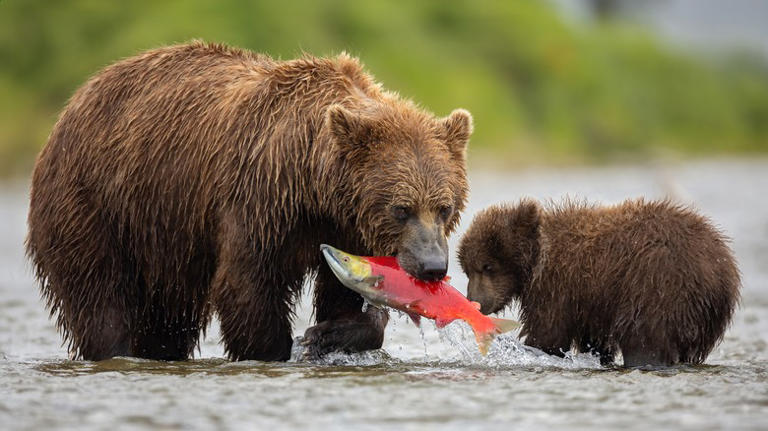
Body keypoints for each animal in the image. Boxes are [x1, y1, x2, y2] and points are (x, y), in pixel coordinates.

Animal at [26, 41, 472, 362]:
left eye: (444, 207)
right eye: (402, 209)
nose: (433, 266)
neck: (315, 187)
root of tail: (73, 104)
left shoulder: (347, 228)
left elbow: (345, 295)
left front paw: (326, 334)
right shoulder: (260, 199)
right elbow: (247, 284)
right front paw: (279, 348)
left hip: (166, 241)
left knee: (167, 318)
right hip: (94, 205)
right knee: (100, 299)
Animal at [458, 198, 741, 367]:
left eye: (487, 266)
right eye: (467, 269)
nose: (475, 301)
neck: (538, 260)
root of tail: (720, 269)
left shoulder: (557, 287)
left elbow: (548, 334)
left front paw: (530, 349)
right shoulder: (591, 301)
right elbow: (594, 340)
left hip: (657, 287)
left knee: (644, 340)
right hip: (701, 317)